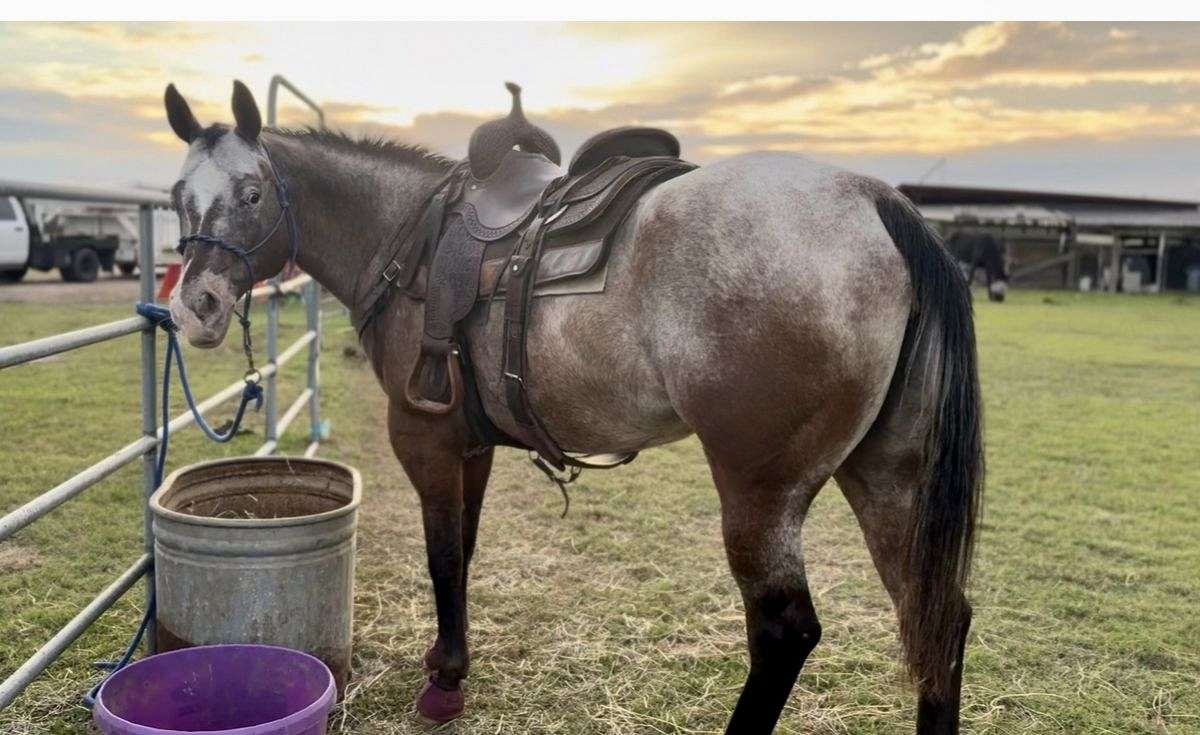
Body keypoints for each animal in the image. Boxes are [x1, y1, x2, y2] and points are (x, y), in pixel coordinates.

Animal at [162, 81, 984, 734]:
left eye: (253, 193)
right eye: (177, 197)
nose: (194, 307)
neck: (410, 242)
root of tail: (872, 198)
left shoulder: (423, 437)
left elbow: (442, 554)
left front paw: (444, 682)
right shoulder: (472, 445)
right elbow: (465, 551)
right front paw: (451, 664)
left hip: (761, 490)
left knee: (784, 631)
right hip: (888, 473)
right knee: (937, 615)